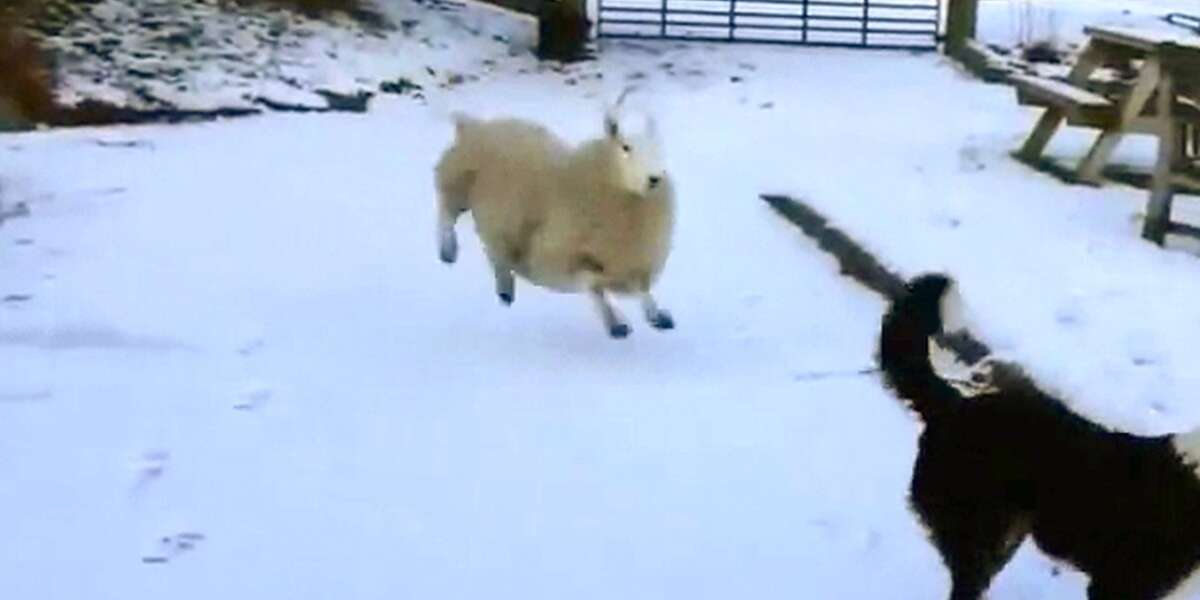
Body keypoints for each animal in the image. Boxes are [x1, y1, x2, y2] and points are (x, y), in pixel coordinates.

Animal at [433, 92, 675, 339]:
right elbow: (592, 283)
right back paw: (448, 251)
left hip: (496, 222)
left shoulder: (632, 263)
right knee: (446, 214)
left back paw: (505, 289)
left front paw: (657, 316)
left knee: (495, 253)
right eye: (626, 147)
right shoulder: (559, 256)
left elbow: (641, 290)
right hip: (457, 184)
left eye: (658, 148)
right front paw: (616, 324)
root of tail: (473, 124)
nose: (654, 179)